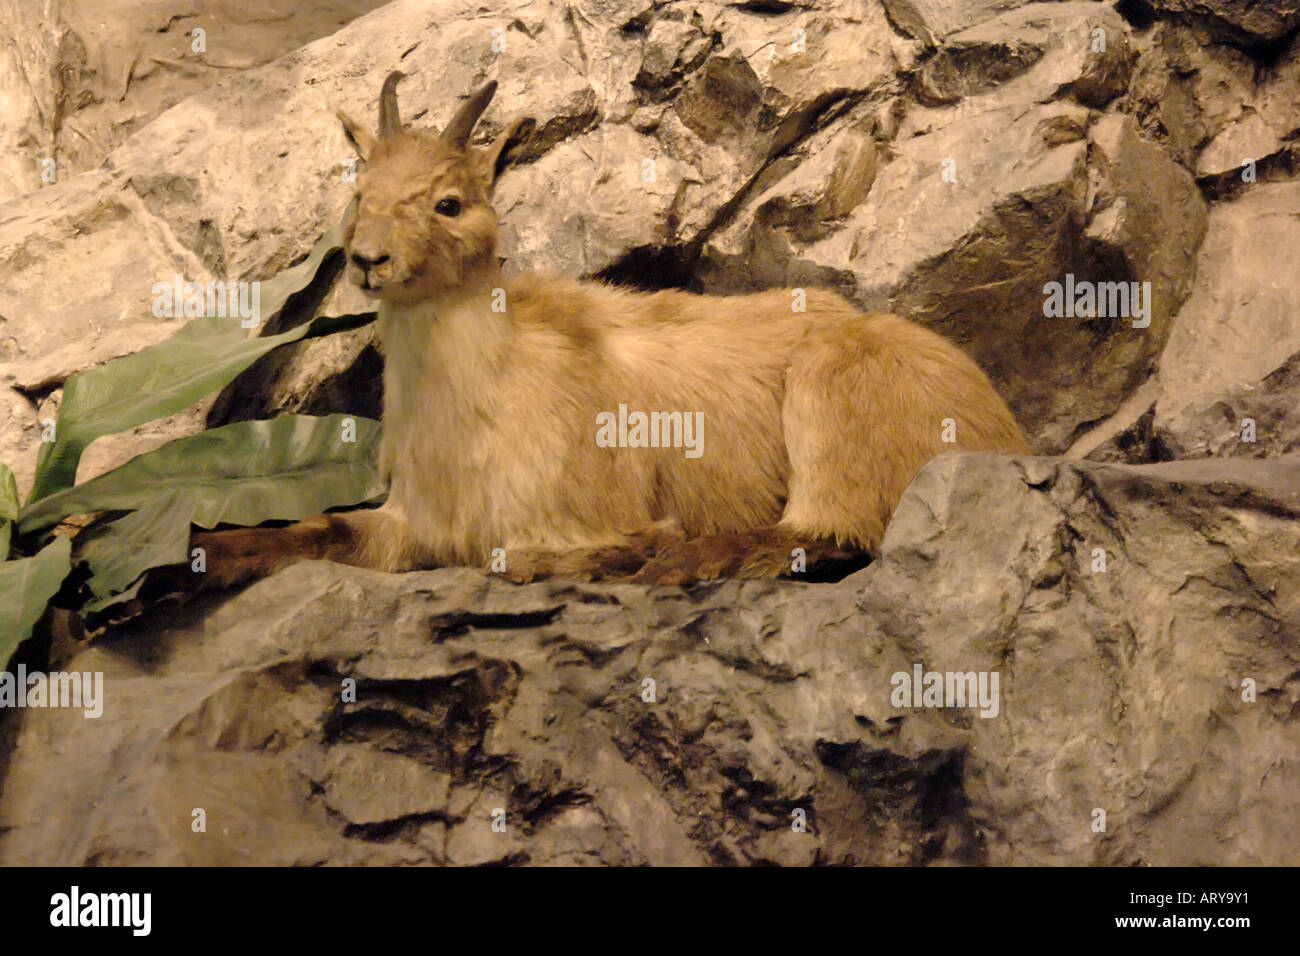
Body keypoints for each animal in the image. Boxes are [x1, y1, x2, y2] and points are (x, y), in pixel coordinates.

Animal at [184, 72, 1030, 590]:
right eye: (361, 191)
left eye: (449, 202)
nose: (368, 260)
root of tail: (1004, 428)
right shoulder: (410, 526)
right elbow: (317, 527)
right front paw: (192, 555)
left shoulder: (554, 518)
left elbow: (525, 557)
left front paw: (644, 548)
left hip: (830, 401)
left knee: (831, 532)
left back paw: (685, 559)